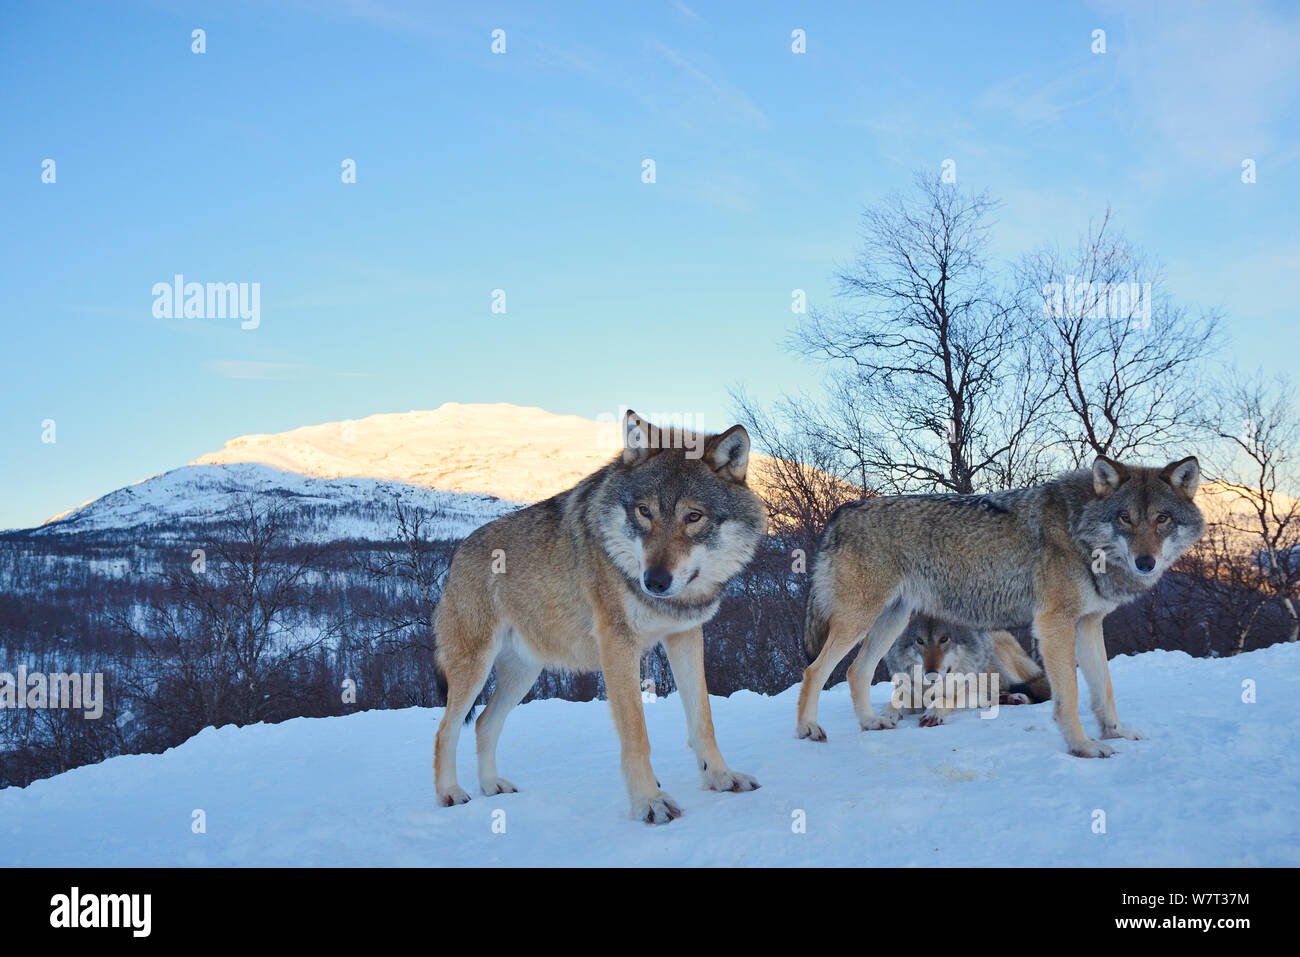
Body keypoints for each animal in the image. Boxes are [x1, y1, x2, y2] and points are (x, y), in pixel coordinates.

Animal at [433, 410, 767, 823]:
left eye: (694, 516)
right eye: (644, 511)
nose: (655, 581)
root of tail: (457, 551)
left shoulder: (686, 635)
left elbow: (703, 720)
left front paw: (721, 777)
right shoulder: (617, 644)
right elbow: (636, 734)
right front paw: (649, 802)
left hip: (524, 673)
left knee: (483, 724)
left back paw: (492, 786)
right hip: (475, 666)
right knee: (446, 729)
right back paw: (449, 793)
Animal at [881, 614, 1051, 727]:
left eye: (944, 639)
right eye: (919, 641)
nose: (930, 674)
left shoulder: (972, 691)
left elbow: (946, 698)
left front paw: (934, 713)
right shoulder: (908, 689)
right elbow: (895, 700)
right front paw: (886, 716)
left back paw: (1018, 697)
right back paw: (1005, 697)